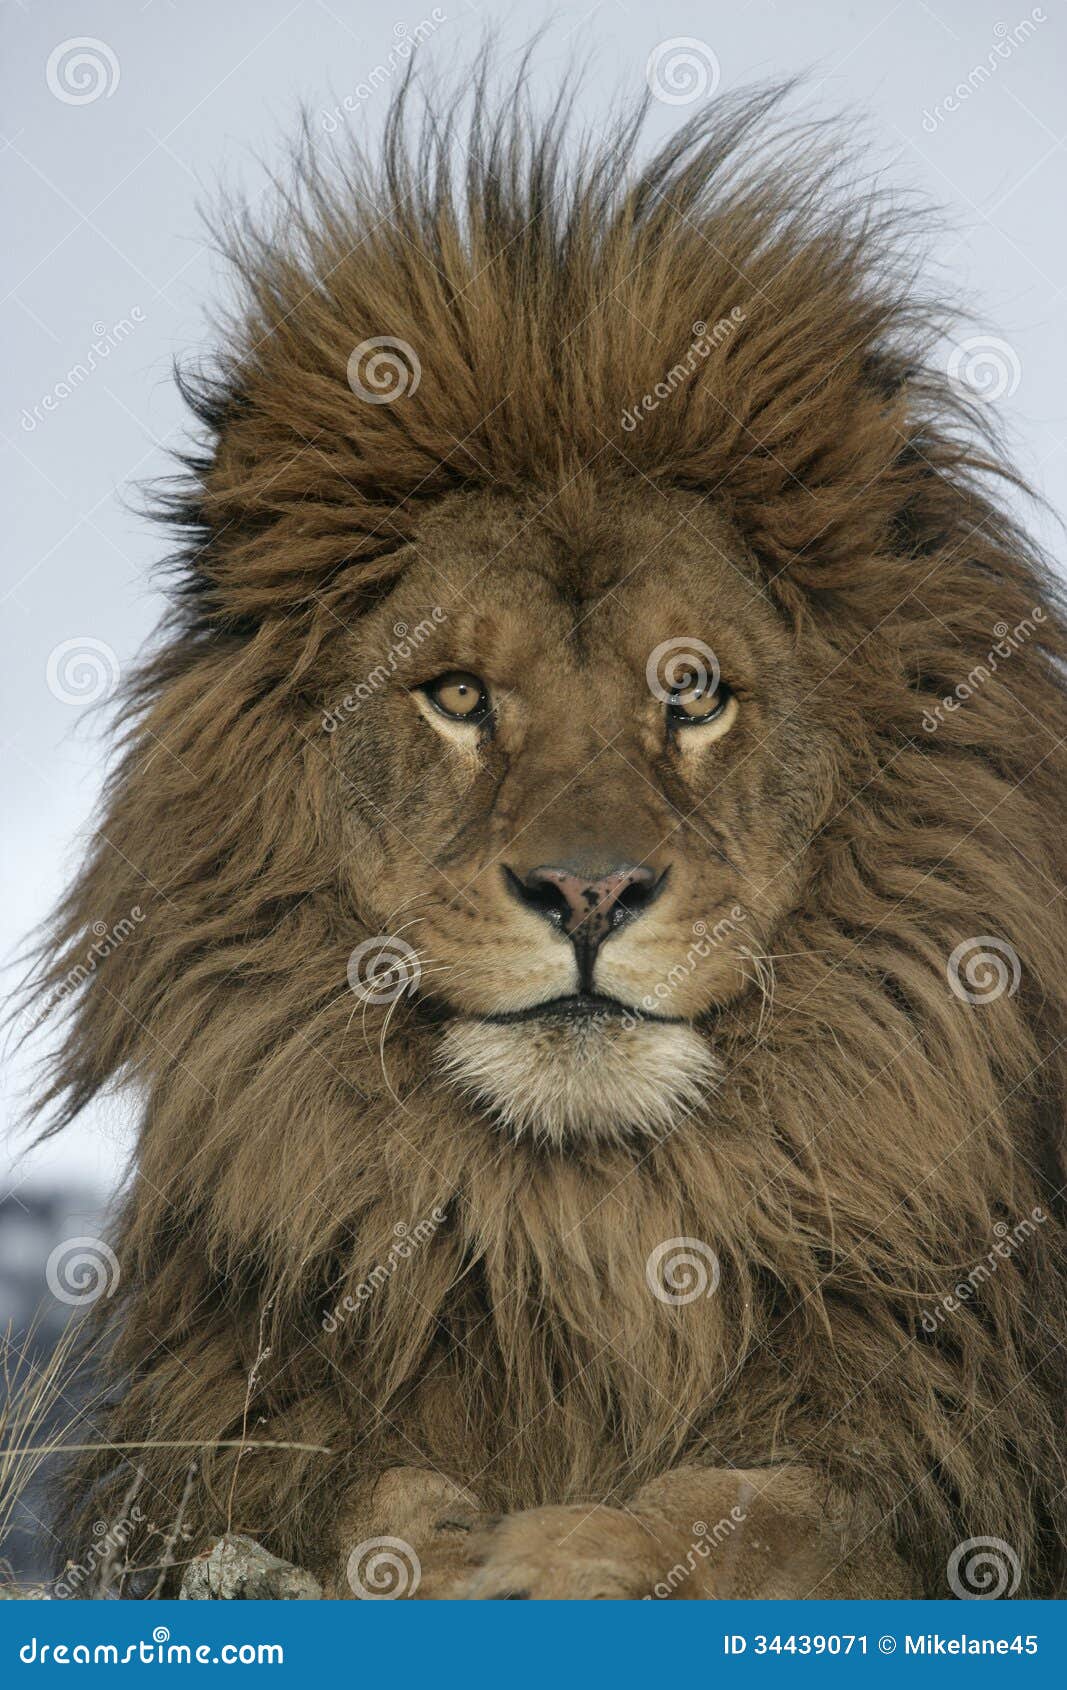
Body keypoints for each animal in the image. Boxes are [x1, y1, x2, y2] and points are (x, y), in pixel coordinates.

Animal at [27, 70, 1067, 1600]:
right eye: (459, 695)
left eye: (689, 689)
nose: (586, 891)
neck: (581, 1230)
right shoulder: (215, 1436)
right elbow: (343, 1494)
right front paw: (427, 1550)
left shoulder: (962, 1453)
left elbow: (767, 1513)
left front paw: (562, 1554)